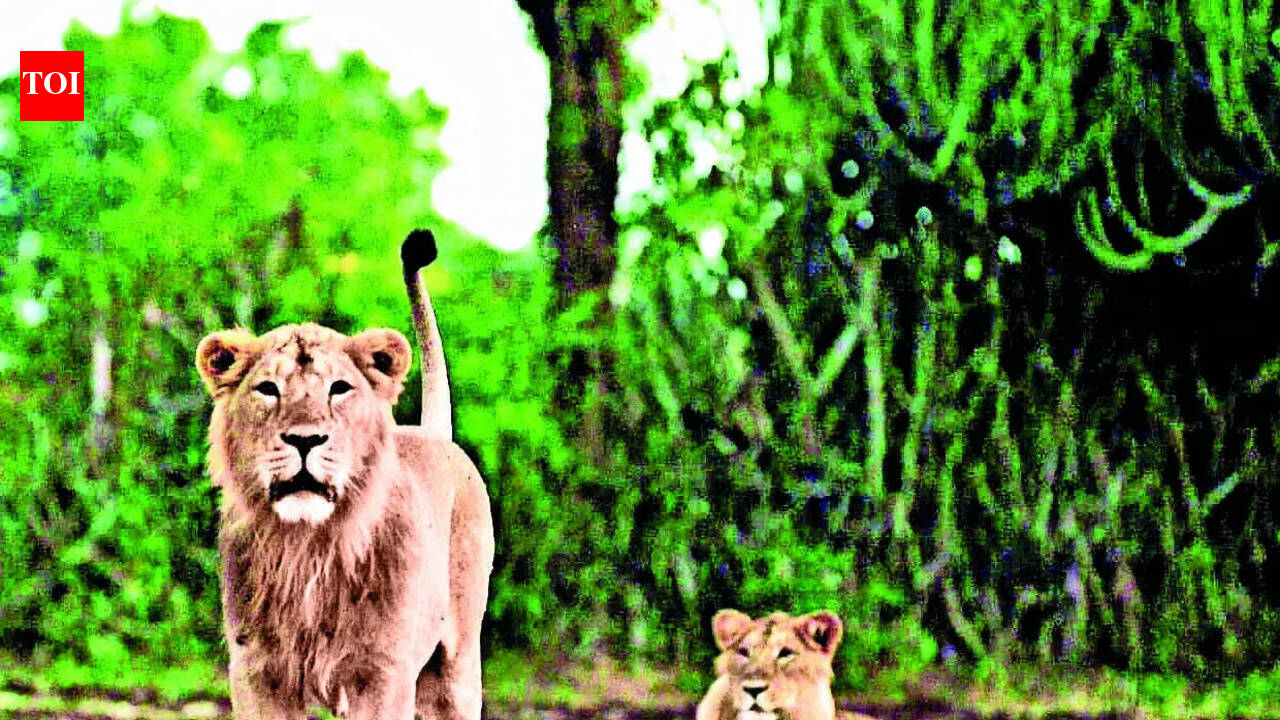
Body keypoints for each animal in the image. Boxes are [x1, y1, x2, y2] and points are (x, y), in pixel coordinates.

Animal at [195, 230, 494, 720]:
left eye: (339, 389)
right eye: (267, 389)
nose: (305, 439)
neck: (306, 548)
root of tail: (434, 434)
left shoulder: (382, 672)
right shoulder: (256, 671)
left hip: (455, 669)